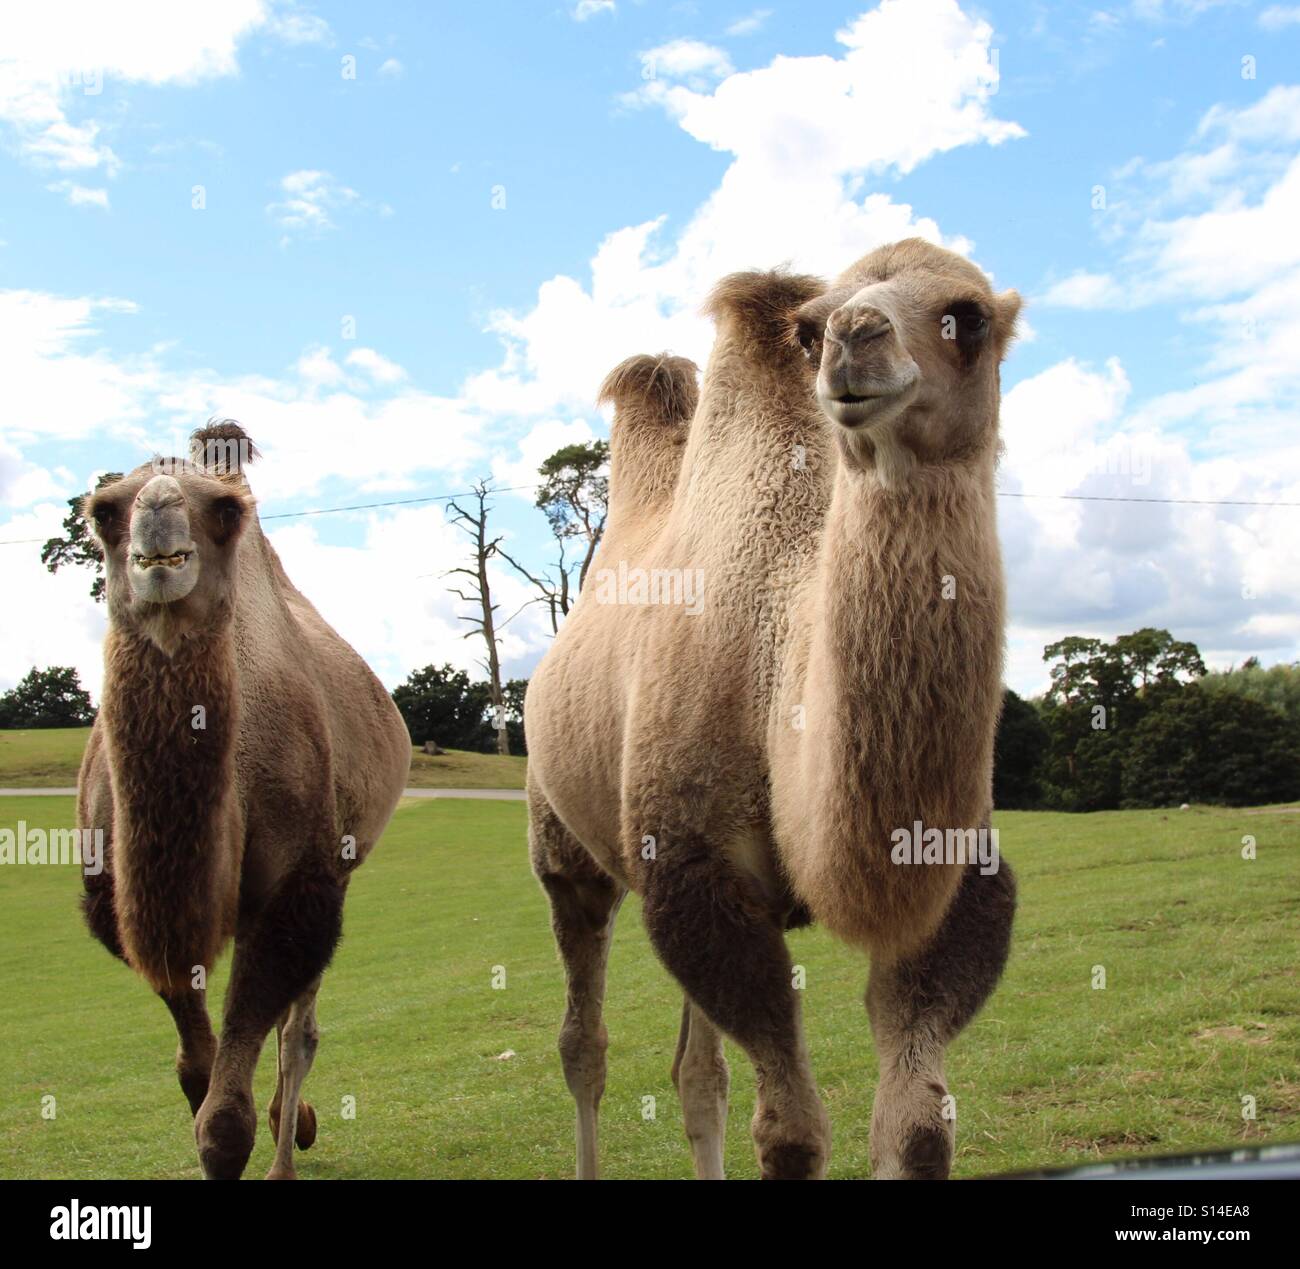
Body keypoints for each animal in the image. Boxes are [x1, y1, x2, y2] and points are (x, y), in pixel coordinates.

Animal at [78, 421, 410, 1180]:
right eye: (104, 510)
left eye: (226, 512)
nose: (158, 537)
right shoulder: (139, 912)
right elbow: (196, 1074)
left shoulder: (298, 885)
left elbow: (226, 1118)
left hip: (338, 863)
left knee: (300, 1029)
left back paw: (294, 1140)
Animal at [525, 239, 1020, 1179]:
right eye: (812, 328)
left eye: (967, 315)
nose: (857, 338)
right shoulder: (693, 871)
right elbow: (790, 1134)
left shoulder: (954, 873)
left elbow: (918, 1125)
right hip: (563, 844)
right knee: (582, 1041)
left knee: (696, 1071)